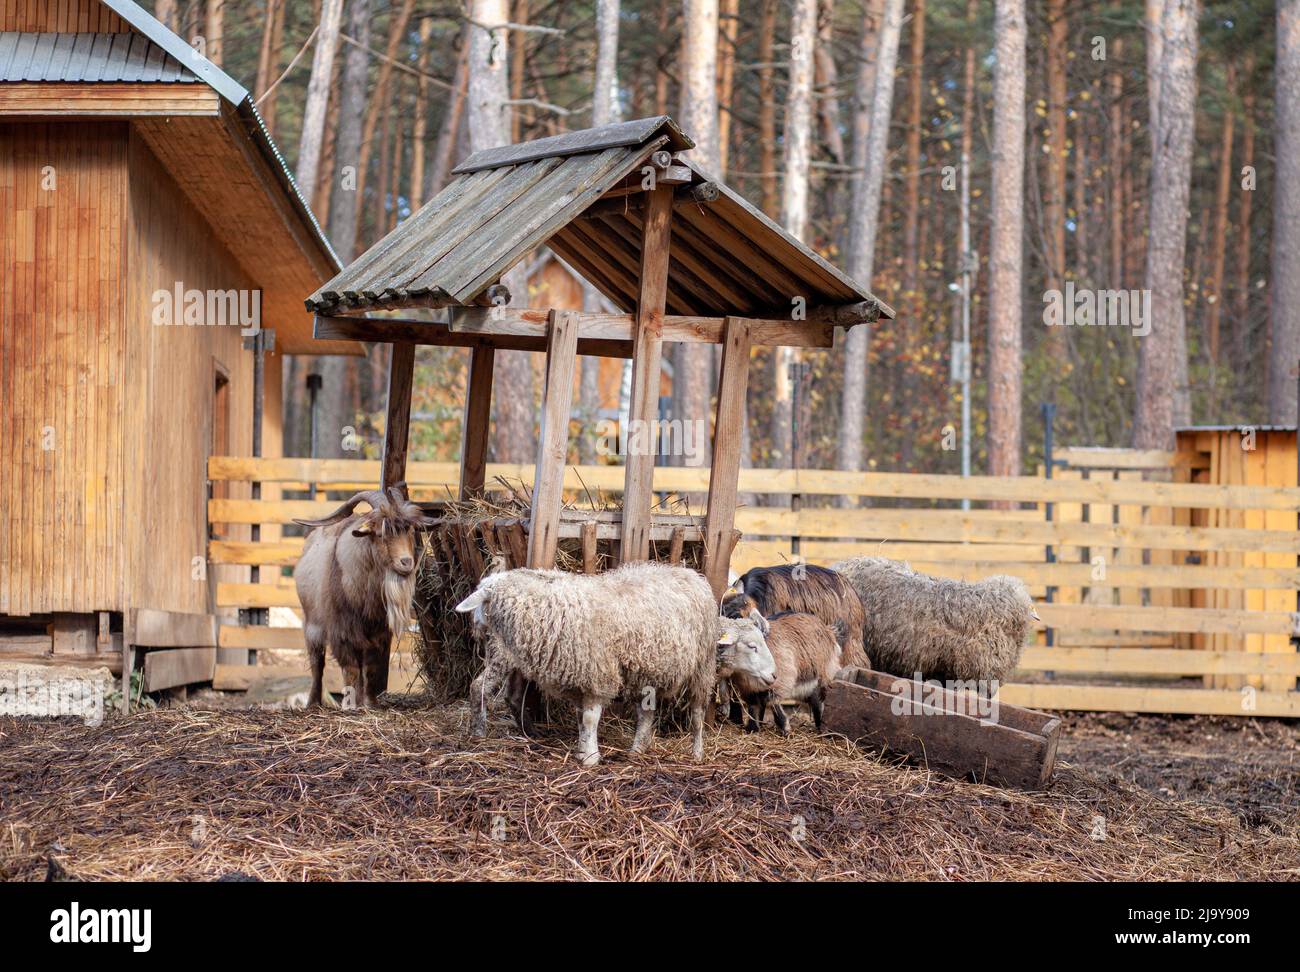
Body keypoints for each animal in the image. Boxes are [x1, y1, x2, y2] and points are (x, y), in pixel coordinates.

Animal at [292, 487, 435, 708]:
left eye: (410, 531)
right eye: (381, 534)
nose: (406, 562)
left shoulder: (378, 632)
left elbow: (370, 668)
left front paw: (369, 703)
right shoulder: (341, 630)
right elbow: (350, 668)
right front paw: (350, 705)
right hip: (311, 623)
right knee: (317, 662)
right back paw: (313, 702)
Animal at [456, 562, 777, 766]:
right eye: (752, 646)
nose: (774, 676)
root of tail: (690, 574)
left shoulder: (596, 673)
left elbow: (588, 718)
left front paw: (588, 756)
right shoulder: (589, 675)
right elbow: (587, 718)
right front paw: (588, 753)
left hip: (688, 667)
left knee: (693, 713)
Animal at [721, 603, 843, 735]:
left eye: (751, 645)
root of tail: (829, 630)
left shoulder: (780, 681)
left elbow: (773, 702)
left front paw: (785, 727)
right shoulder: (749, 689)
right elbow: (754, 706)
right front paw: (753, 728)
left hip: (824, 674)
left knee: (819, 701)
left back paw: (821, 727)